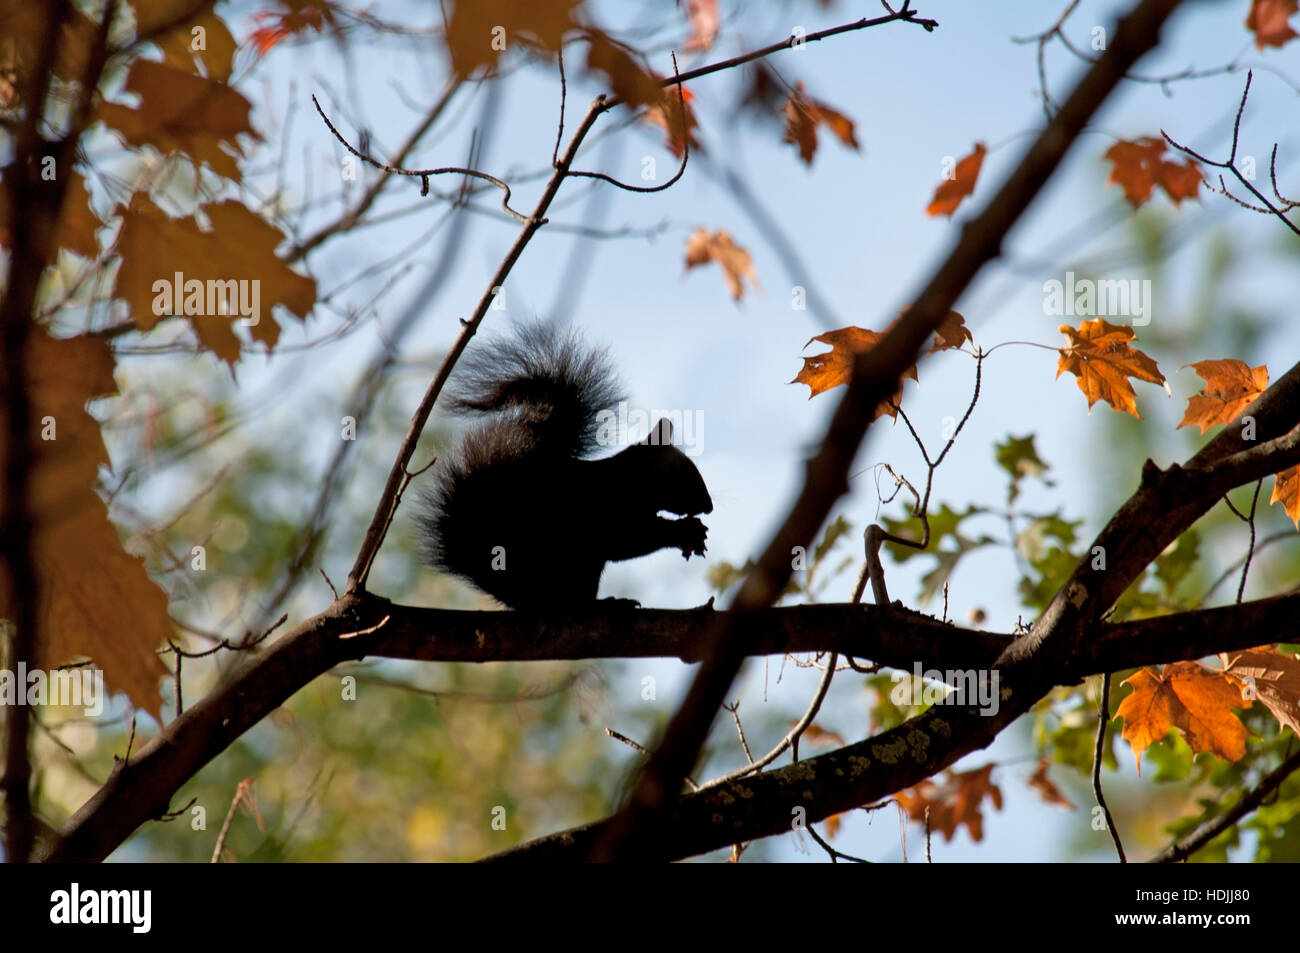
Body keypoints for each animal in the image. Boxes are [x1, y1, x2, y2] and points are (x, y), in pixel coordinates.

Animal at [418, 322, 712, 610]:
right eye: (683, 473)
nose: (709, 507)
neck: (628, 478)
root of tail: (513, 593)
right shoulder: (610, 510)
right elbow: (629, 539)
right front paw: (683, 531)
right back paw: (604, 605)